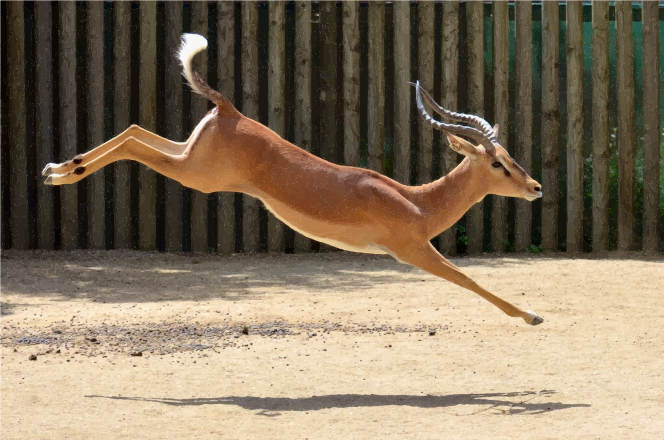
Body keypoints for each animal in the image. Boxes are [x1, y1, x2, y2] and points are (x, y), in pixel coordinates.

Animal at [42, 34, 544, 326]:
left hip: (188, 157)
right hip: (197, 175)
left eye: (511, 157)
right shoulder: (413, 251)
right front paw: (532, 316)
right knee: (131, 142)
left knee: (133, 131)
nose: (535, 187)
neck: (418, 201)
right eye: (498, 164)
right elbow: (468, 279)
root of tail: (229, 109)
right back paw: (63, 174)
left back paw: (58, 170)